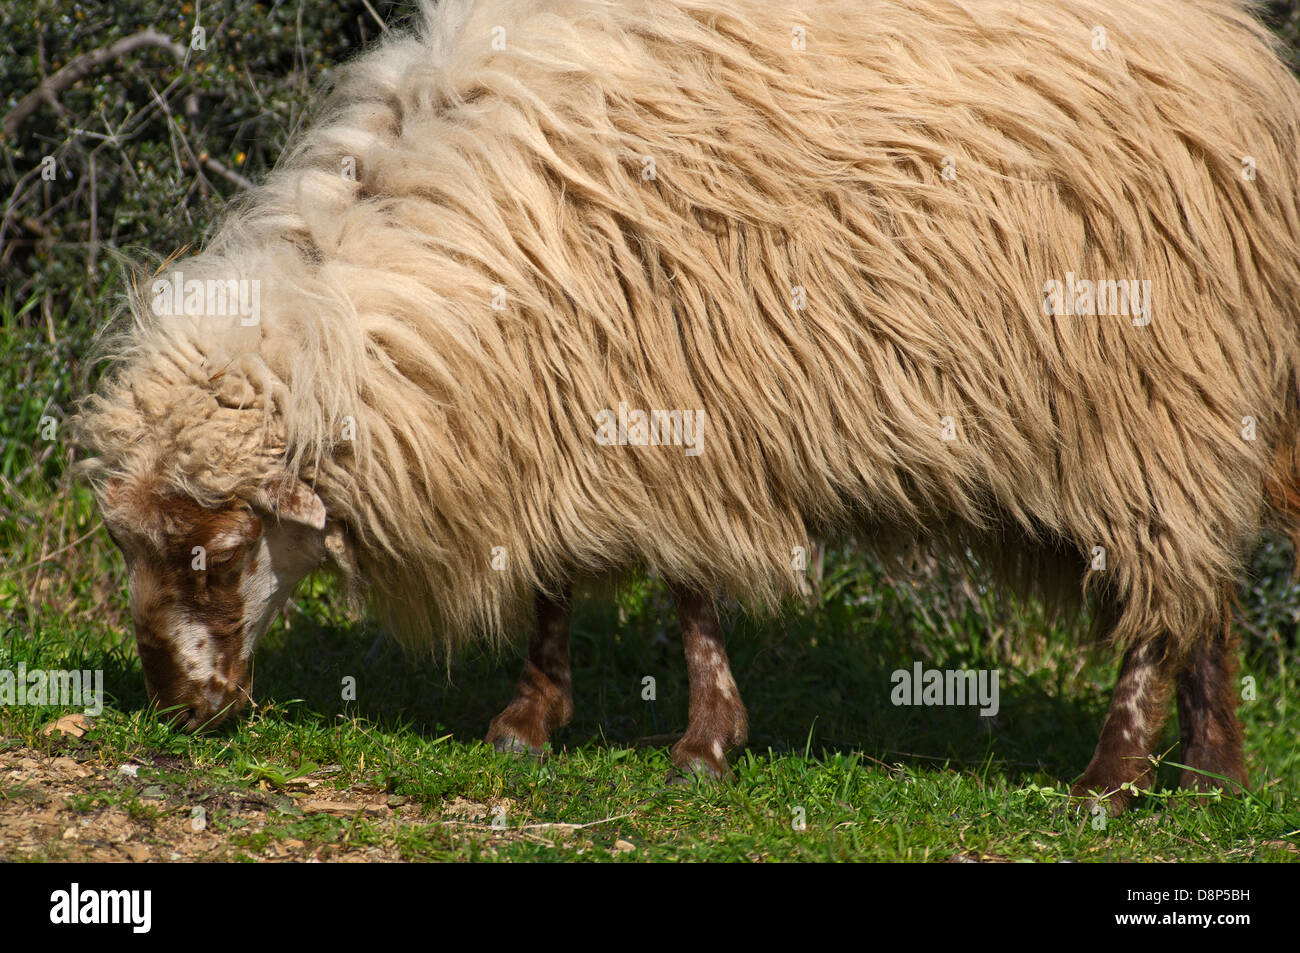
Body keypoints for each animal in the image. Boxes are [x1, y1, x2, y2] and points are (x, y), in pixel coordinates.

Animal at [73, 0, 1300, 815]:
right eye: (130, 544)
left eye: (222, 550)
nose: (182, 711)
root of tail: (1247, 61)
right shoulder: (569, 403)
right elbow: (558, 579)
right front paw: (529, 722)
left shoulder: (669, 399)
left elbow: (686, 587)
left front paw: (702, 742)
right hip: (1185, 411)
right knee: (1202, 584)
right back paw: (1214, 770)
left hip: (1147, 400)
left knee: (1167, 586)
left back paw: (1112, 776)